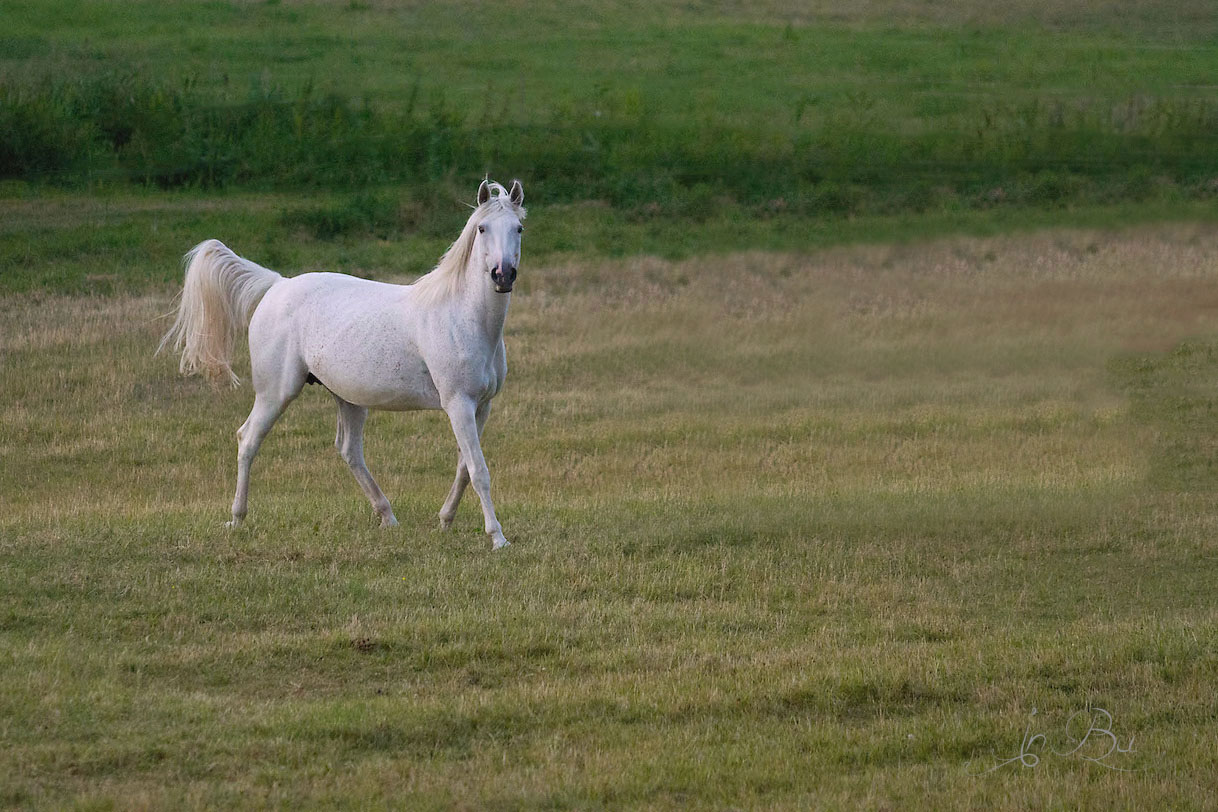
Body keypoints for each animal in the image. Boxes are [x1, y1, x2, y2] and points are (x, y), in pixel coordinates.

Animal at [157, 175, 523, 550]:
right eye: (482, 228)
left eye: (519, 228)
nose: (503, 275)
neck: (460, 315)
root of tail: (277, 284)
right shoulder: (457, 404)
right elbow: (479, 471)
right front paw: (497, 537)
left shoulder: (481, 406)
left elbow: (465, 467)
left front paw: (445, 520)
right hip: (275, 393)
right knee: (248, 439)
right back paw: (237, 518)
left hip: (349, 398)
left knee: (349, 451)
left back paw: (387, 517)